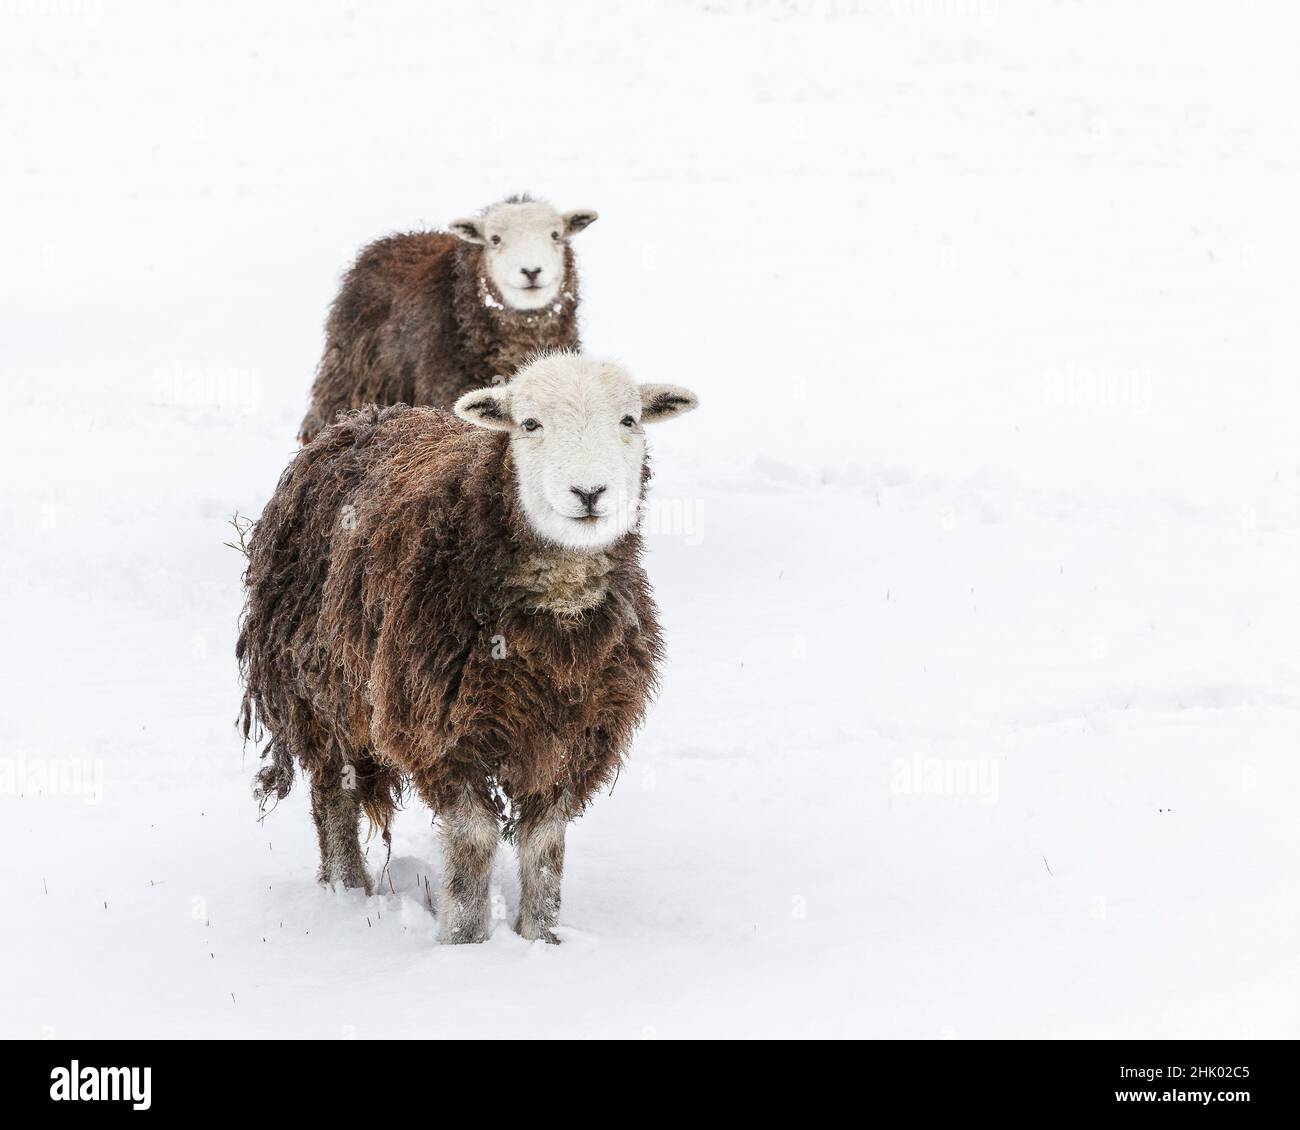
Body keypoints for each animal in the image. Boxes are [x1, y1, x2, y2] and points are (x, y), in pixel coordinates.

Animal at [239, 352, 699, 943]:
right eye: (529, 423)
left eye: (629, 420)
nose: (589, 493)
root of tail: (366, 416)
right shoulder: (436, 725)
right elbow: (473, 842)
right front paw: (463, 942)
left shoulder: (577, 732)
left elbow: (545, 846)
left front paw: (541, 937)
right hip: (318, 689)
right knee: (333, 794)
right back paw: (347, 891)